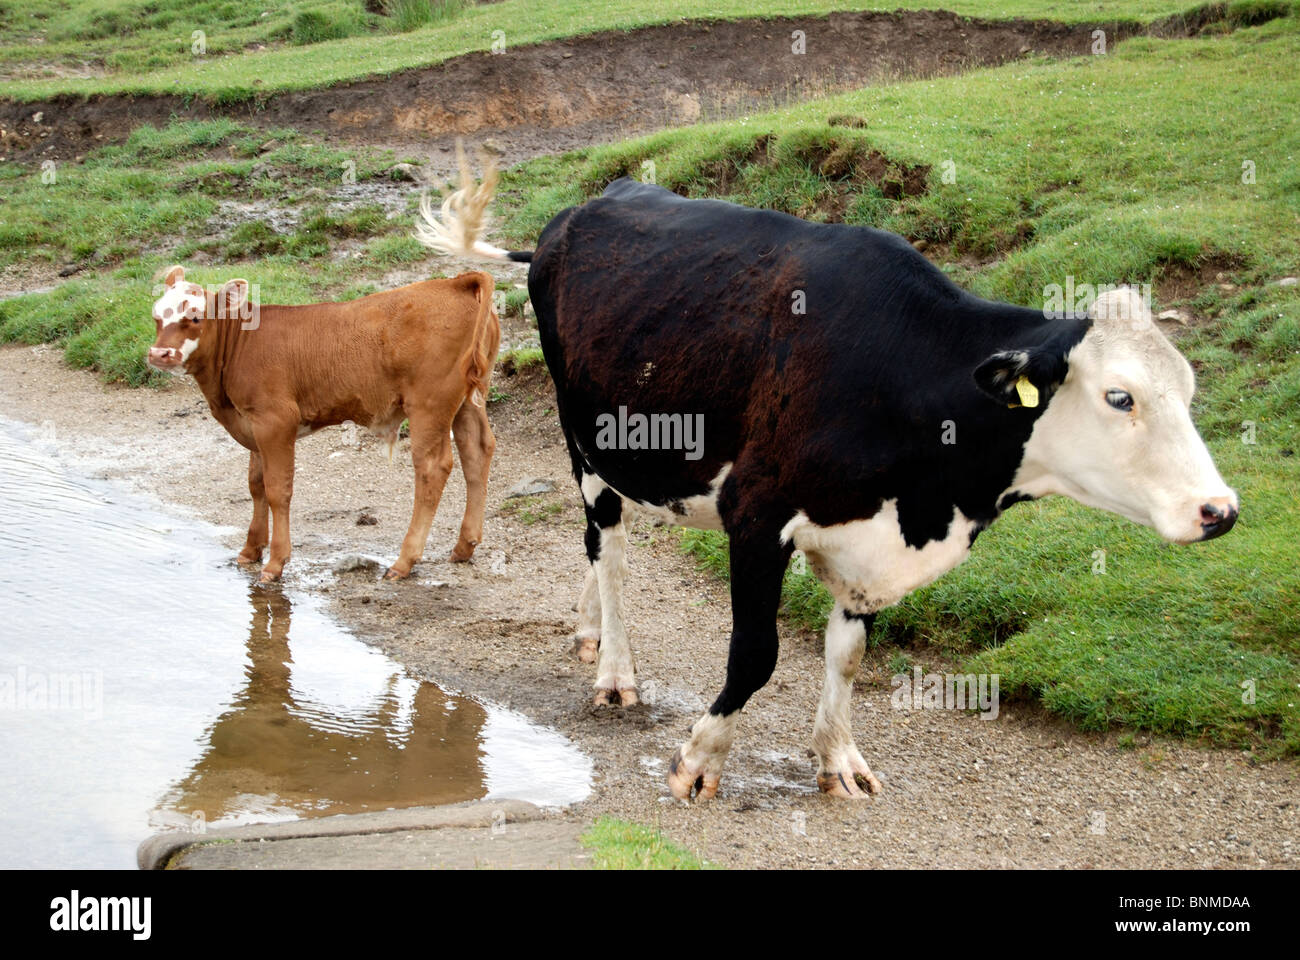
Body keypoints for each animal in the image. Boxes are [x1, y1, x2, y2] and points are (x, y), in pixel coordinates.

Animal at [147, 266, 500, 583]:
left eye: (195, 317)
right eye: (156, 316)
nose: (159, 353)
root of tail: (455, 282)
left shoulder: (276, 421)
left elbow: (278, 490)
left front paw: (275, 562)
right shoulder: (252, 422)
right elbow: (256, 484)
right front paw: (250, 550)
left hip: (429, 403)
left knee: (432, 467)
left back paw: (405, 560)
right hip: (469, 399)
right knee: (477, 450)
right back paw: (464, 546)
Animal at [416, 163, 1238, 801]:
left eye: (1189, 390)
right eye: (1120, 397)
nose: (1220, 510)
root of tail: (577, 210)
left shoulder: (866, 544)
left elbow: (846, 655)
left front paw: (839, 760)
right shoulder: (757, 513)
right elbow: (755, 654)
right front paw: (698, 760)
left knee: (599, 552)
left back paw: (590, 630)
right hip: (583, 438)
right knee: (608, 546)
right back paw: (616, 667)